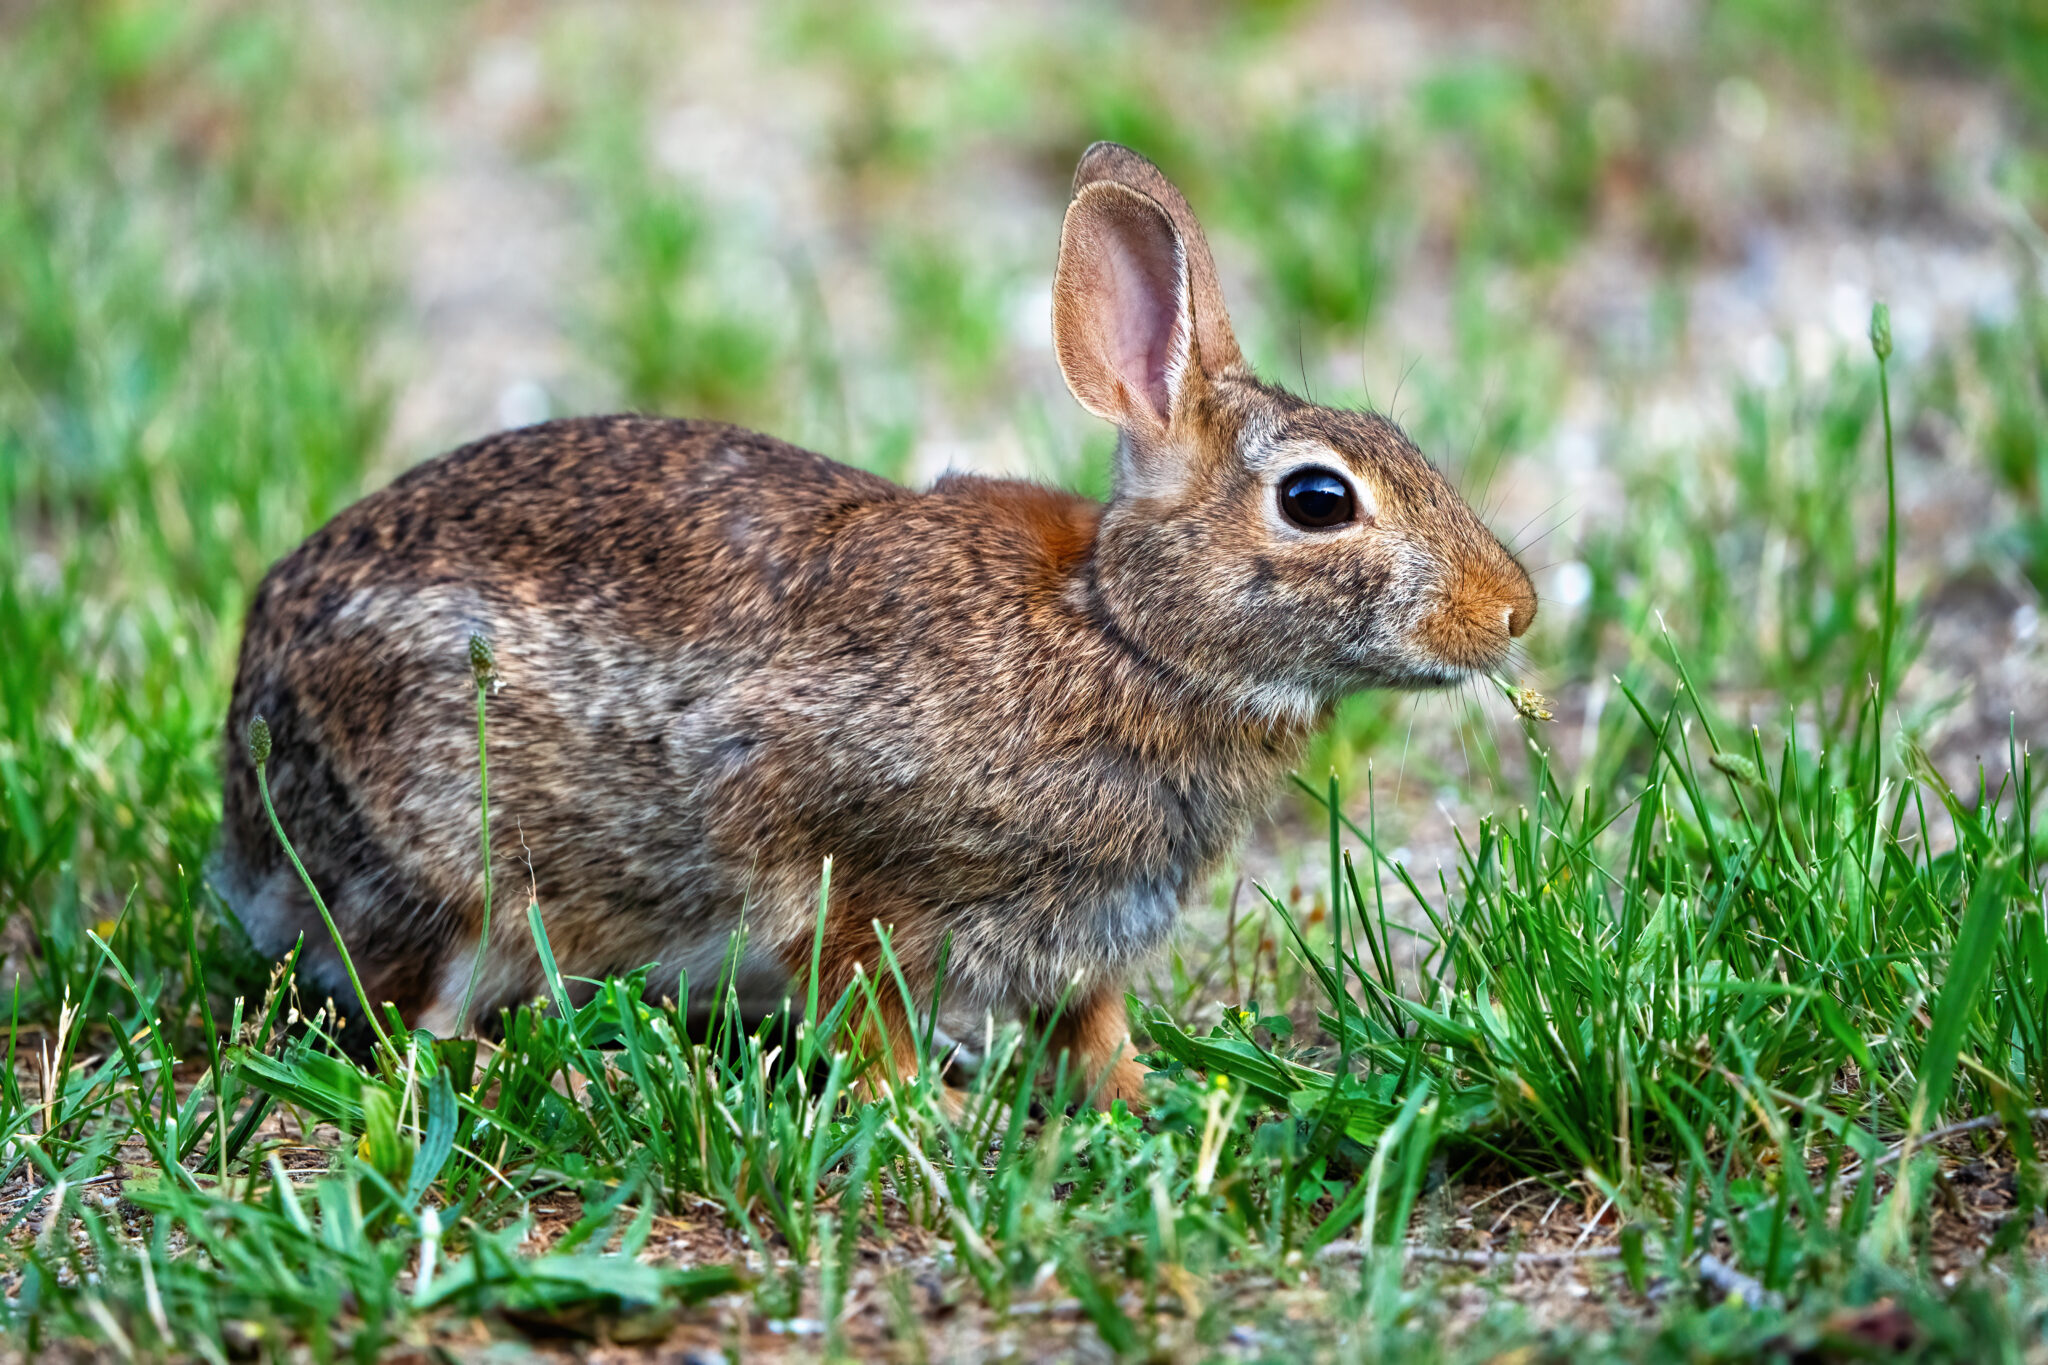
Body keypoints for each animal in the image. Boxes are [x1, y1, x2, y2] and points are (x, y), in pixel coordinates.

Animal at [214, 141, 1536, 1107]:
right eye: (1317, 501)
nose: (1512, 612)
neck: (1125, 636)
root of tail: (247, 775)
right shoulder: (838, 866)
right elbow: (860, 1006)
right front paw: (929, 1114)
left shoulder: (1086, 939)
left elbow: (1091, 1027)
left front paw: (1140, 1098)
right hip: (457, 861)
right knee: (414, 1019)